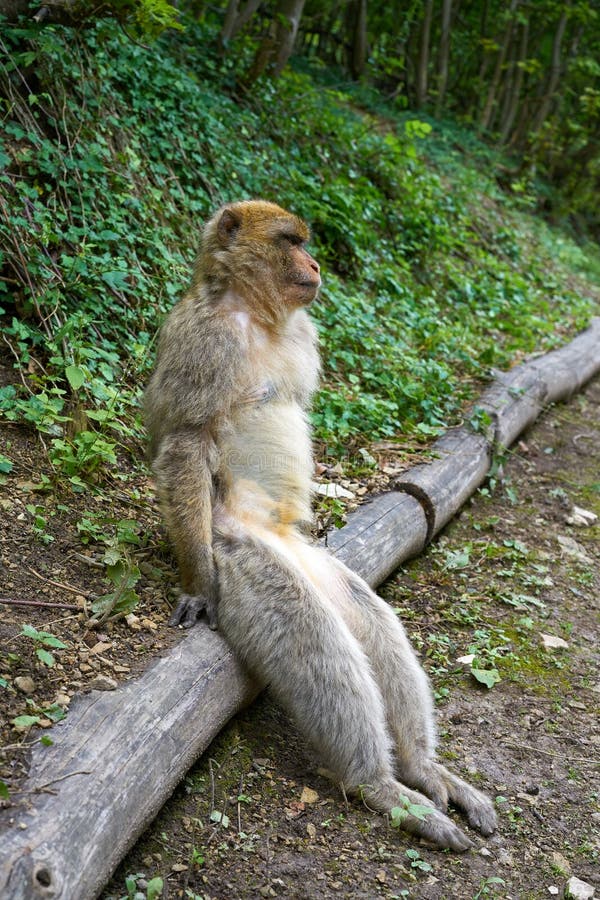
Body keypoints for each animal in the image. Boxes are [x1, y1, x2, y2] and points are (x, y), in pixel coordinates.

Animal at [144, 200, 497, 851]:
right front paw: (197, 584)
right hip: (245, 553)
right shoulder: (205, 340)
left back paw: (422, 768)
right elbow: (185, 441)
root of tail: (275, 539)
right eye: (292, 242)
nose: (314, 264)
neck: (255, 317)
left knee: (368, 616)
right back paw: (378, 785)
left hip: (307, 557)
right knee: (311, 631)